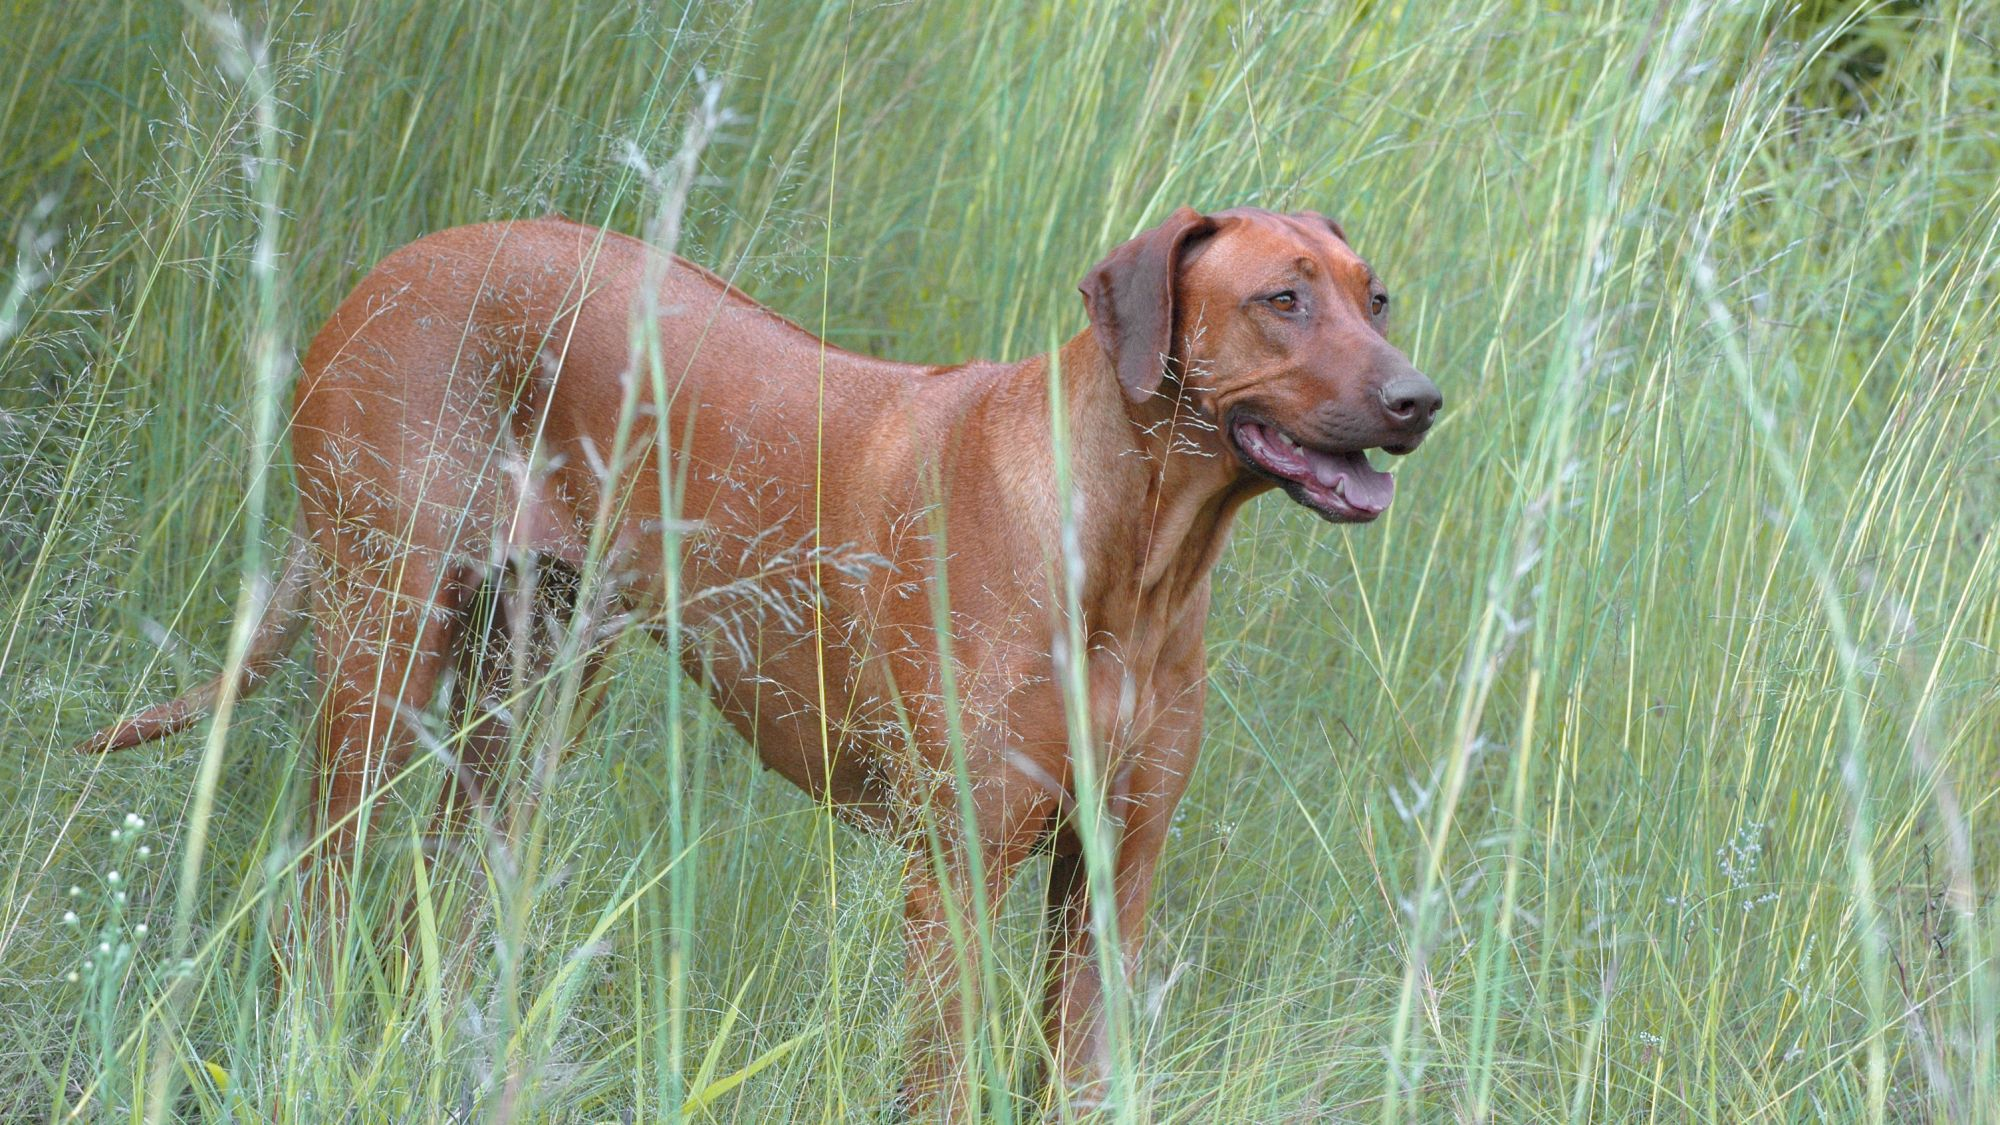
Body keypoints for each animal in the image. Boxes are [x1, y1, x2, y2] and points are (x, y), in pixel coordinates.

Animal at [82, 206, 1440, 1104]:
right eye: (1281, 300)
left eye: (1373, 297)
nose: (1420, 399)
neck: (1128, 563)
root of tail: (392, 267)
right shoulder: (953, 870)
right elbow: (940, 1078)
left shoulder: (1115, 871)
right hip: (386, 647)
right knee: (313, 897)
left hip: (533, 698)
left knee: (449, 892)